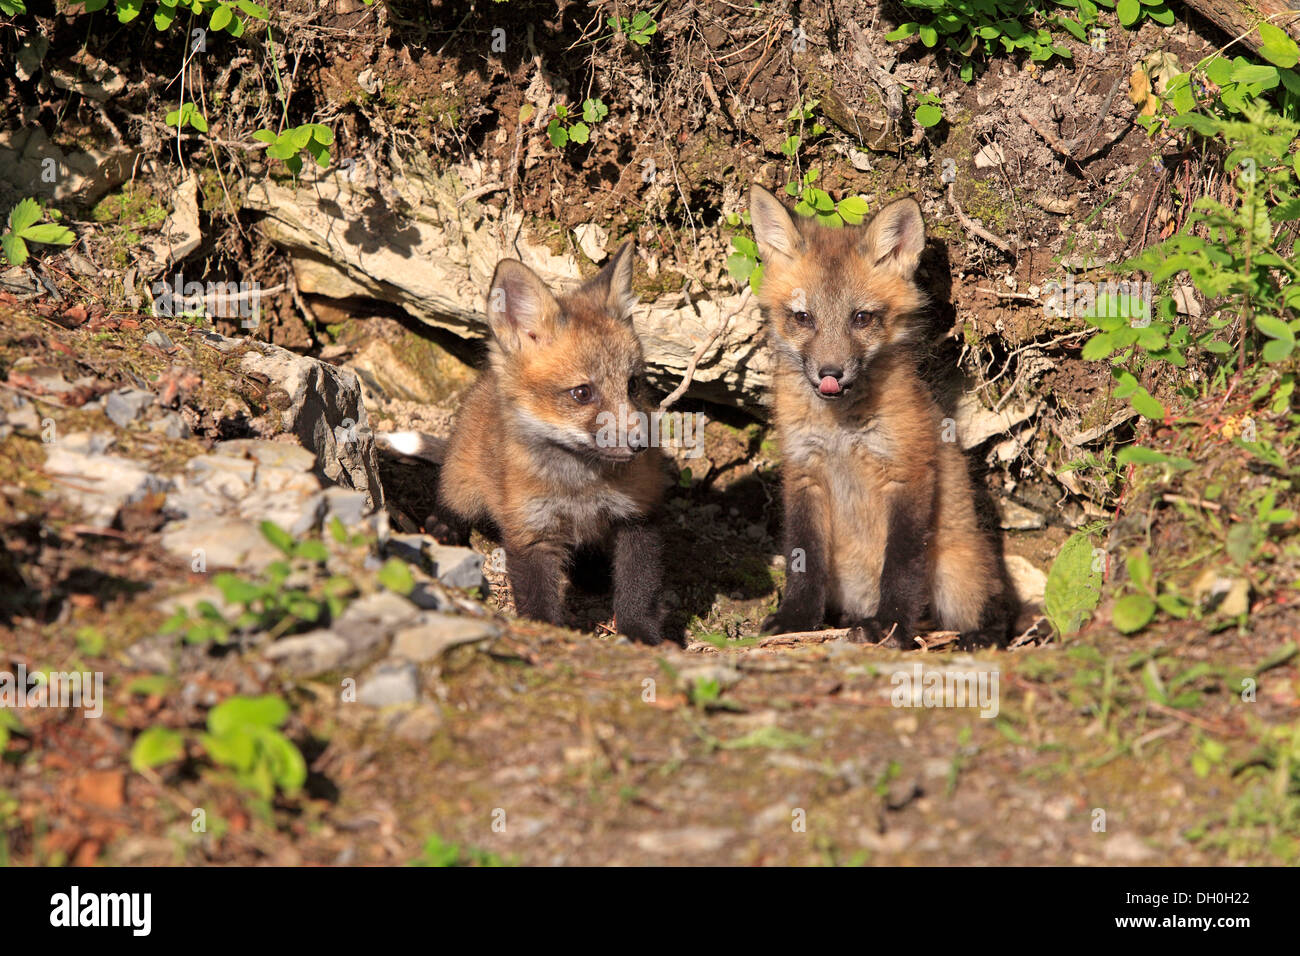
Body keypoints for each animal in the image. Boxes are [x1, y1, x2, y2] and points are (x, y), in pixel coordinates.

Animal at [436, 242, 669, 644]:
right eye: (582, 393)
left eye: (633, 384)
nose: (641, 444)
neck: (579, 489)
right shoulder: (529, 529)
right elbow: (537, 599)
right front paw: (542, 632)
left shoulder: (638, 515)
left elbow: (639, 589)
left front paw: (640, 634)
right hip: (463, 484)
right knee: (451, 500)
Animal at [749, 184, 1012, 648]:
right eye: (803, 318)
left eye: (861, 318)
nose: (830, 373)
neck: (841, 433)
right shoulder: (804, 472)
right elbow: (803, 559)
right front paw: (796, 619)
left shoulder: (907, 471)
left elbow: (901, 564)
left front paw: (889, 626)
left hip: (957, 575)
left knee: (996, 611)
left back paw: (978, 636)